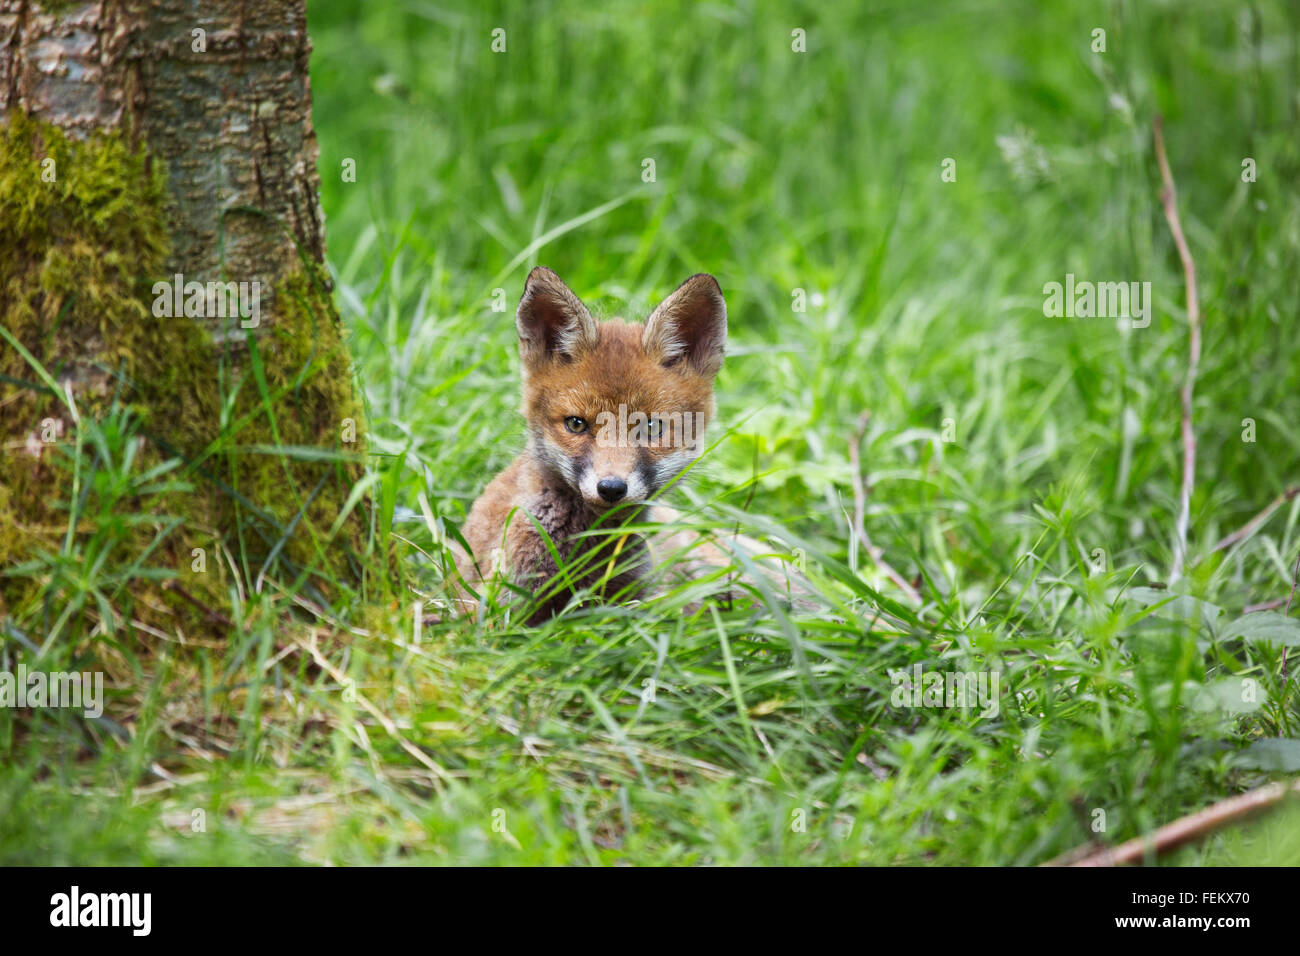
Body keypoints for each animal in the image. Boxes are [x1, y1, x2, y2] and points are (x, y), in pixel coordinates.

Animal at [454, 266, 738, 622]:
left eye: (651, 427)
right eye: (576, 424)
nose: (611, 488)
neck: (585, 558)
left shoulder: (630, 603)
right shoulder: (493, 606)